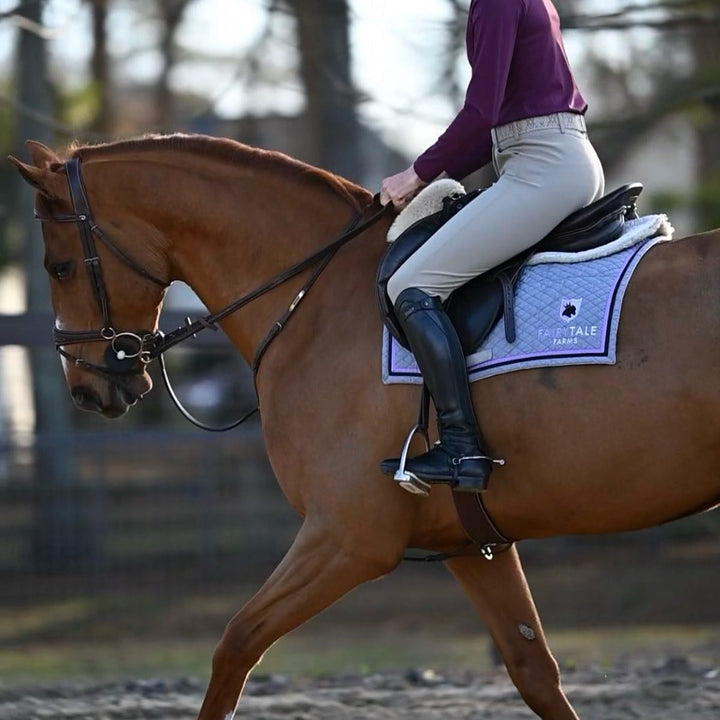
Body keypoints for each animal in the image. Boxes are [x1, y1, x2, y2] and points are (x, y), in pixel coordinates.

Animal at [10, 134, 720, 720]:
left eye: (59, 268)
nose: (89, 389)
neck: (316, 302)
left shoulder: (347, 538)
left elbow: (236, 644)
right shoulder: (471, 544)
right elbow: (534, 671)